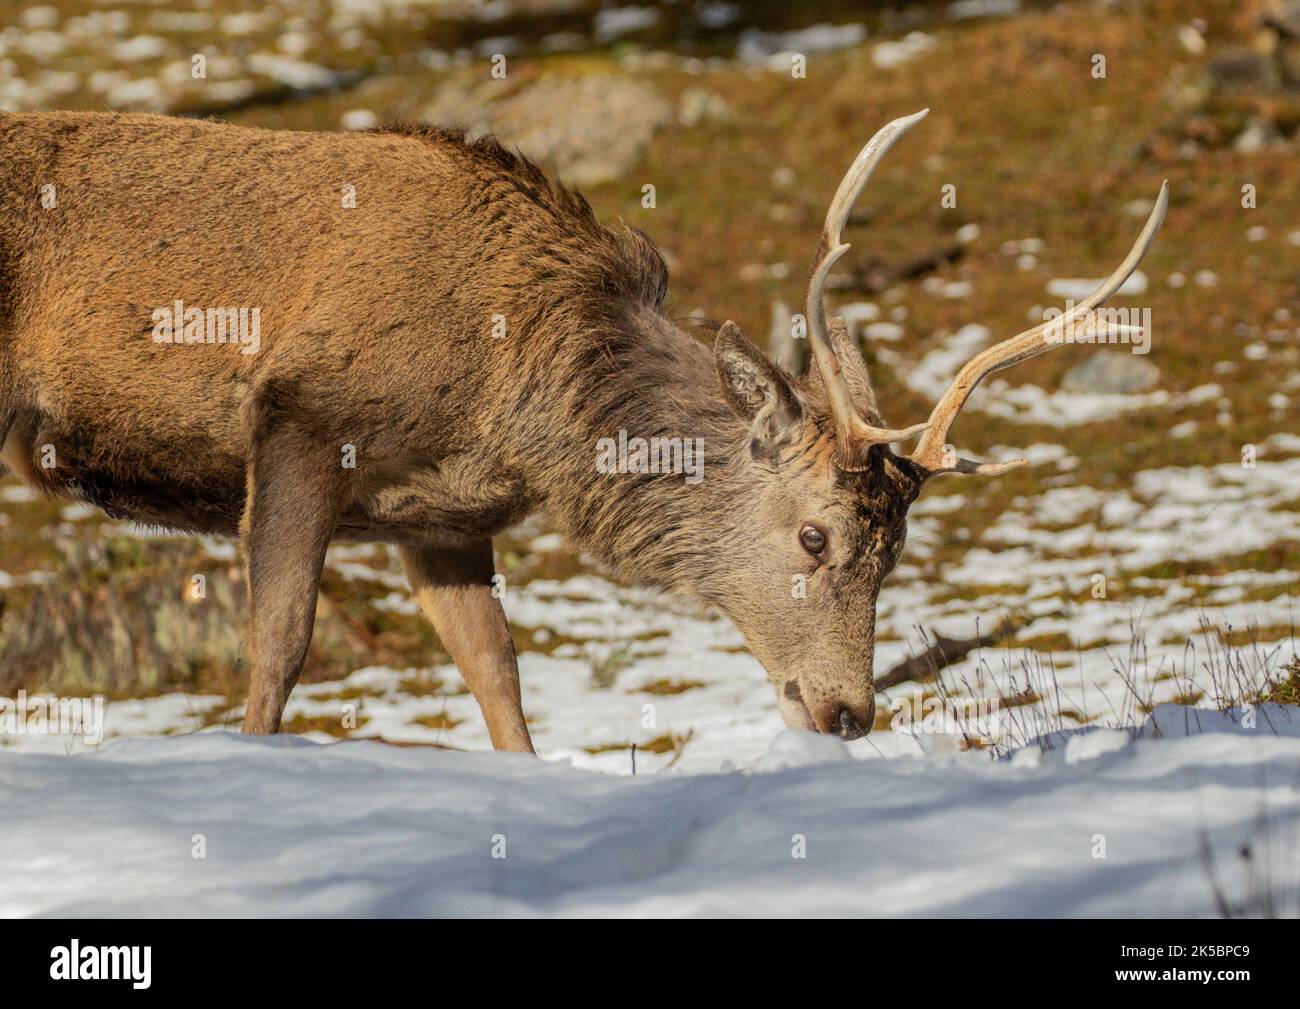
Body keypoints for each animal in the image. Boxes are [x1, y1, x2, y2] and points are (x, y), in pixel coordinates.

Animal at [0, 108, 1166, 752]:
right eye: (815, 534)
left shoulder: (439, 515)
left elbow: (497, 674)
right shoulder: (299, 414)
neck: (517, 397)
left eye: (899, 549)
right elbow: (279, 647)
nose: (848, 712)